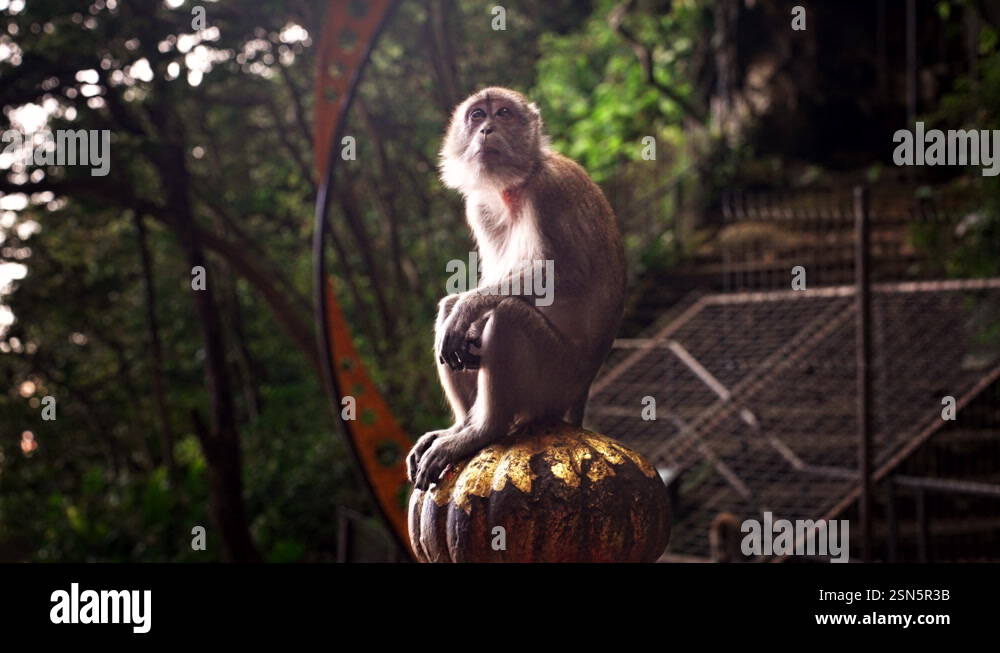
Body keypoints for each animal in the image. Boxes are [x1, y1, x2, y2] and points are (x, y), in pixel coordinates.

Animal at [406, 87, 626, 491]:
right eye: (477, 115)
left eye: (504, 113)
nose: (487, 129)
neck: (516, 186)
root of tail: (582, 392)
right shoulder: (479, 207)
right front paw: (465, 316)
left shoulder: (551, 190)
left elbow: (567, 275)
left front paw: (469, 310)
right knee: (453, 309)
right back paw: (461, 427)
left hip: (554, 381)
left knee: (507, 315)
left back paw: (484, 430)